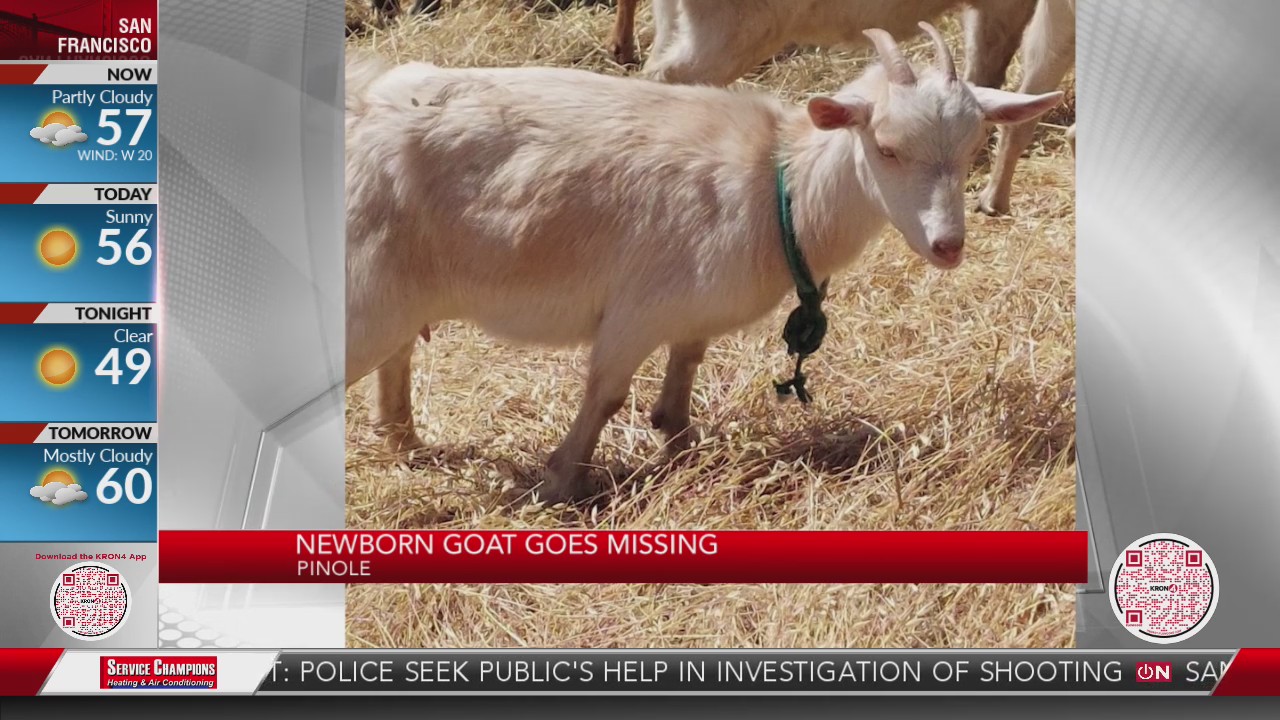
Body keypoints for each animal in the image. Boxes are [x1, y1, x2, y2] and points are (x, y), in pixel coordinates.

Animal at [344, 27, 1062, 503]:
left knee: (397, 358)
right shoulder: (635, 312)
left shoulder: (689, 313)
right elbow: (605, 396)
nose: (948, 245)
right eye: (885, 147)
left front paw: (681, 449)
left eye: (971, 145)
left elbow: (681, 378)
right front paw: (560, 482)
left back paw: (405, 440)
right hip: (366, 291)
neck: (782, 185)